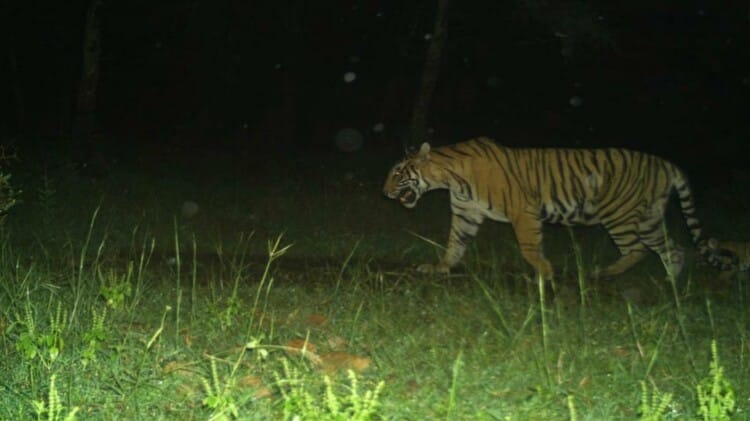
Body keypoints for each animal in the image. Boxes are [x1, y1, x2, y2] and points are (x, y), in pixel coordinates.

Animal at [383, 136, 719, 281]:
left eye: (398, 172)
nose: (384, 192)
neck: (450, 177)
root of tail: (666, 163)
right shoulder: (467, 214)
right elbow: (455, 244)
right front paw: (439, 267)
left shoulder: (523, 212)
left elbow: (530, 248)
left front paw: (545, 274)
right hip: (648, 218)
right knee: (674, 249)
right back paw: (671, 285)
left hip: (620, 214)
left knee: (637, 250)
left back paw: (602, 274)